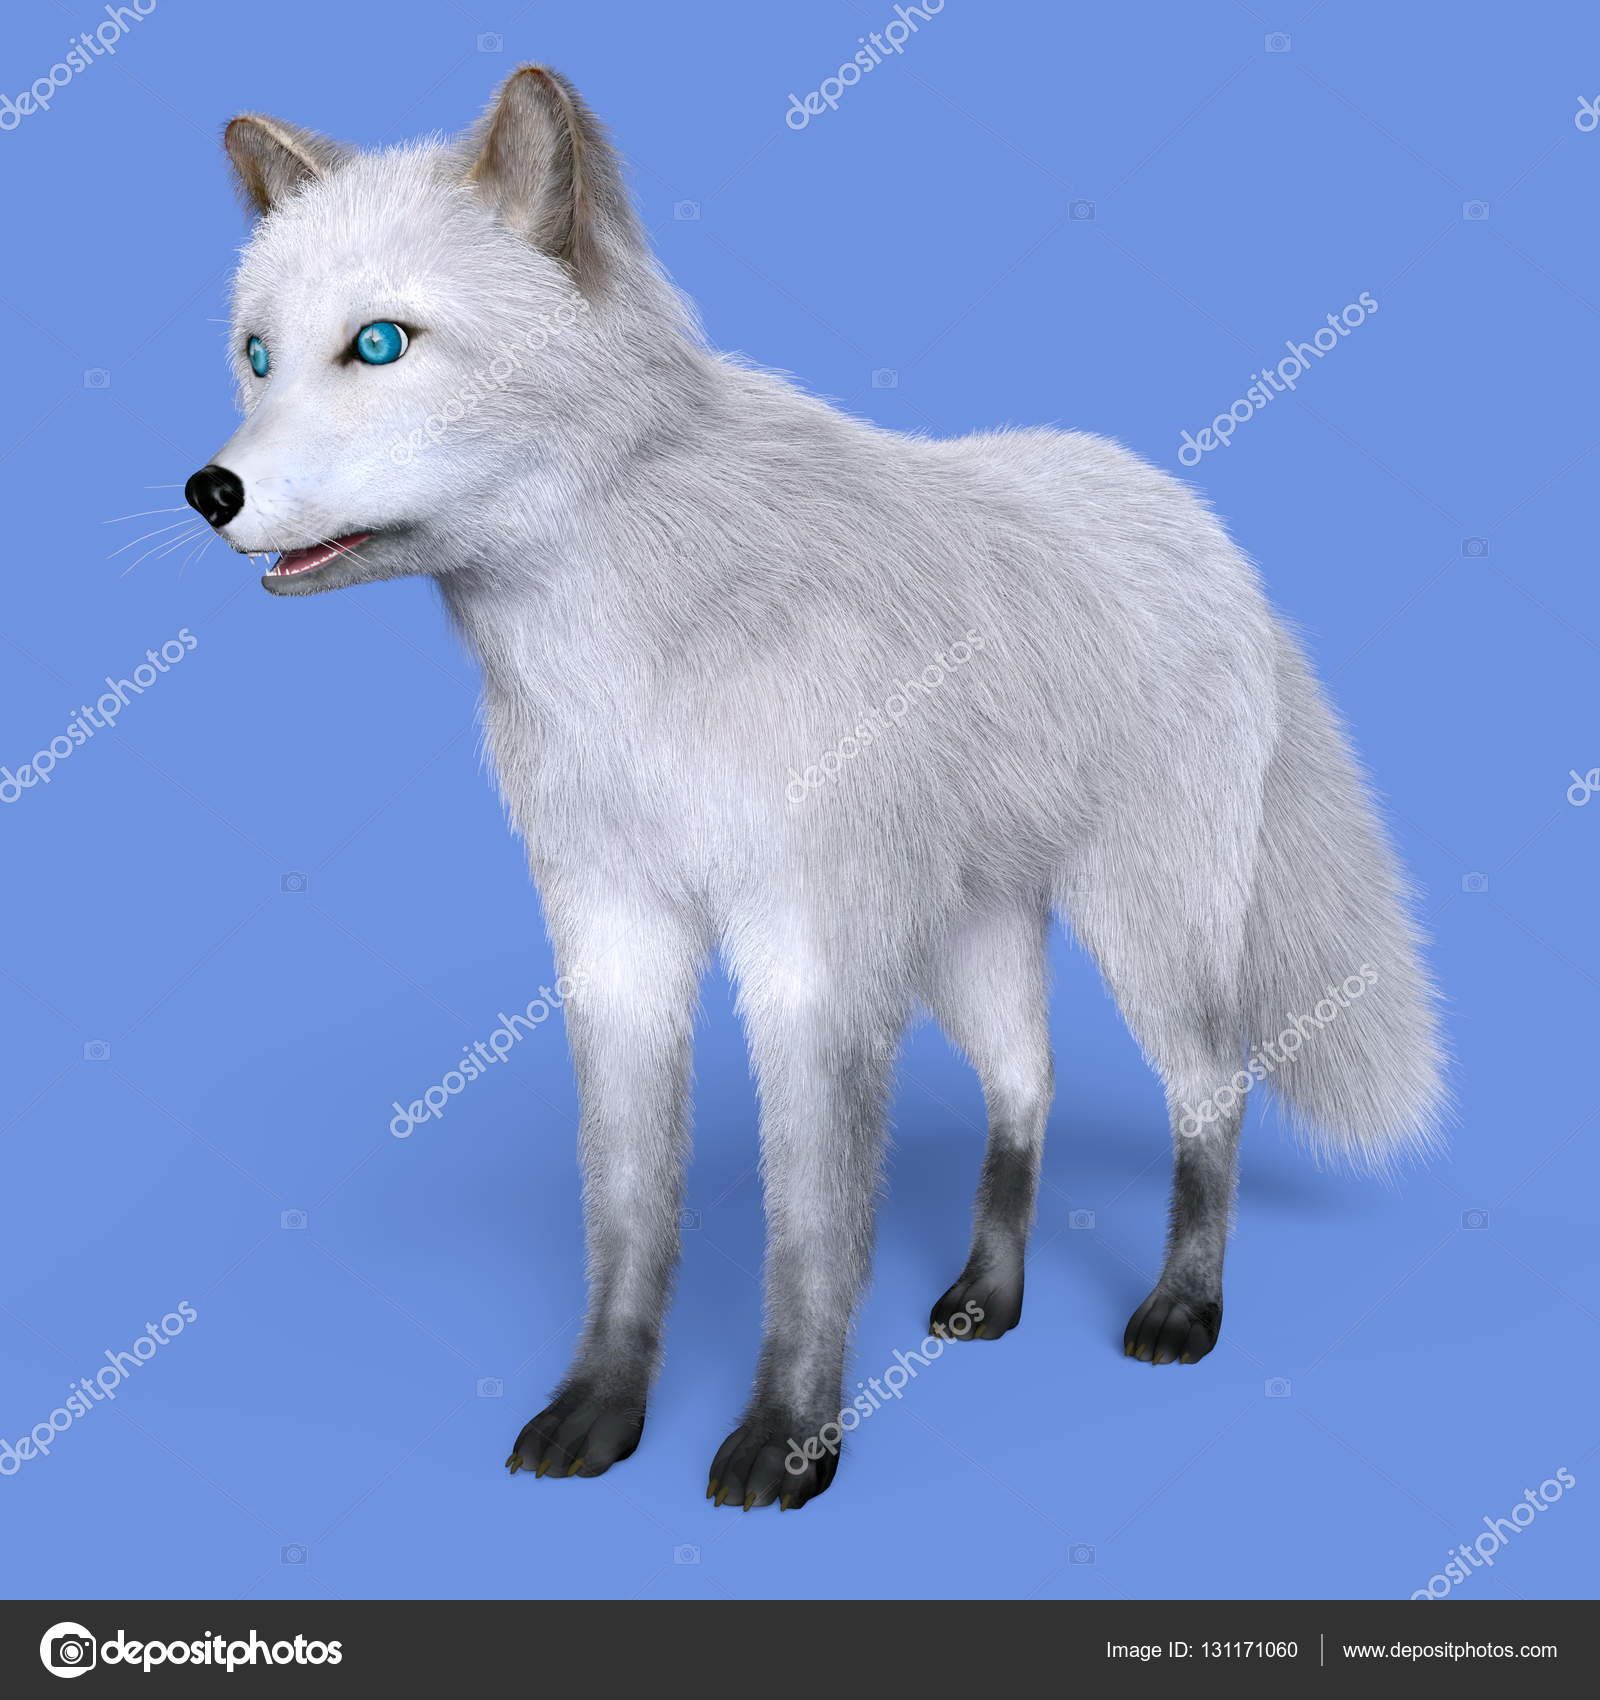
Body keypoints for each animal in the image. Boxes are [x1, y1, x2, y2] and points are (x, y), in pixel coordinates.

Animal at [185, 66, 1445, 1510]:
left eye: (381, 345)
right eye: (258, 356)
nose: (206, 489)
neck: (631, 665)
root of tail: (1190, 514)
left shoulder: (810, 956)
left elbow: (813, 1226)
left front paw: (789, 1436)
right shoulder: (612, 934)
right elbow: (629, 1208)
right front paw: (601, 1408)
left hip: (1144, 927)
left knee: (1211, 1091)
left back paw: (1185, 1306)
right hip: (971, 945)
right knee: (1028, 1089)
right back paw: (991, 1295)